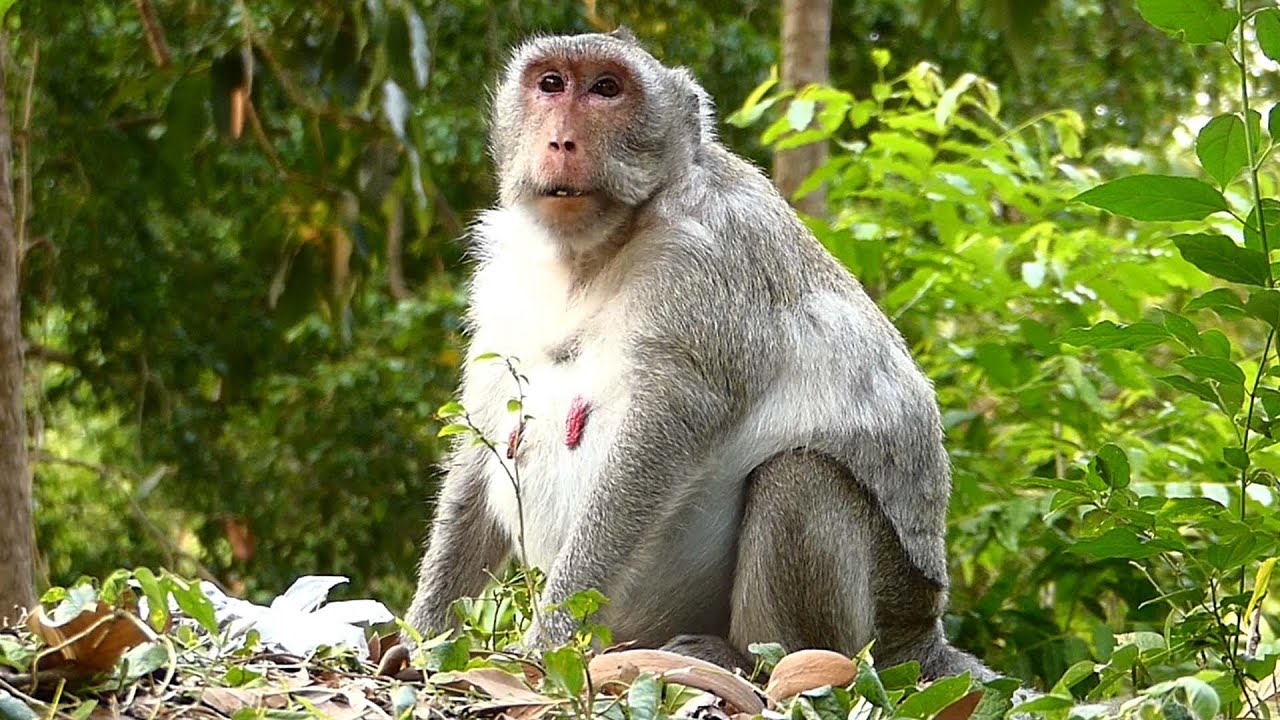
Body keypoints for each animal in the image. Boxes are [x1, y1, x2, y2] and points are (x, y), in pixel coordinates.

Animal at [405, 28, 997, 682]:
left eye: (606, 89)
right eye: (551, 83)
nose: (560, 140)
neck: (594, 251)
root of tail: (924, 633)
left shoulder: (706, 255)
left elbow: (662, 433)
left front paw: (549, 639)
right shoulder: (504, 270)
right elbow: (482, 429)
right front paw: (423, 633)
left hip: (883, 613)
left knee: (798, 479)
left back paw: (750, 657)